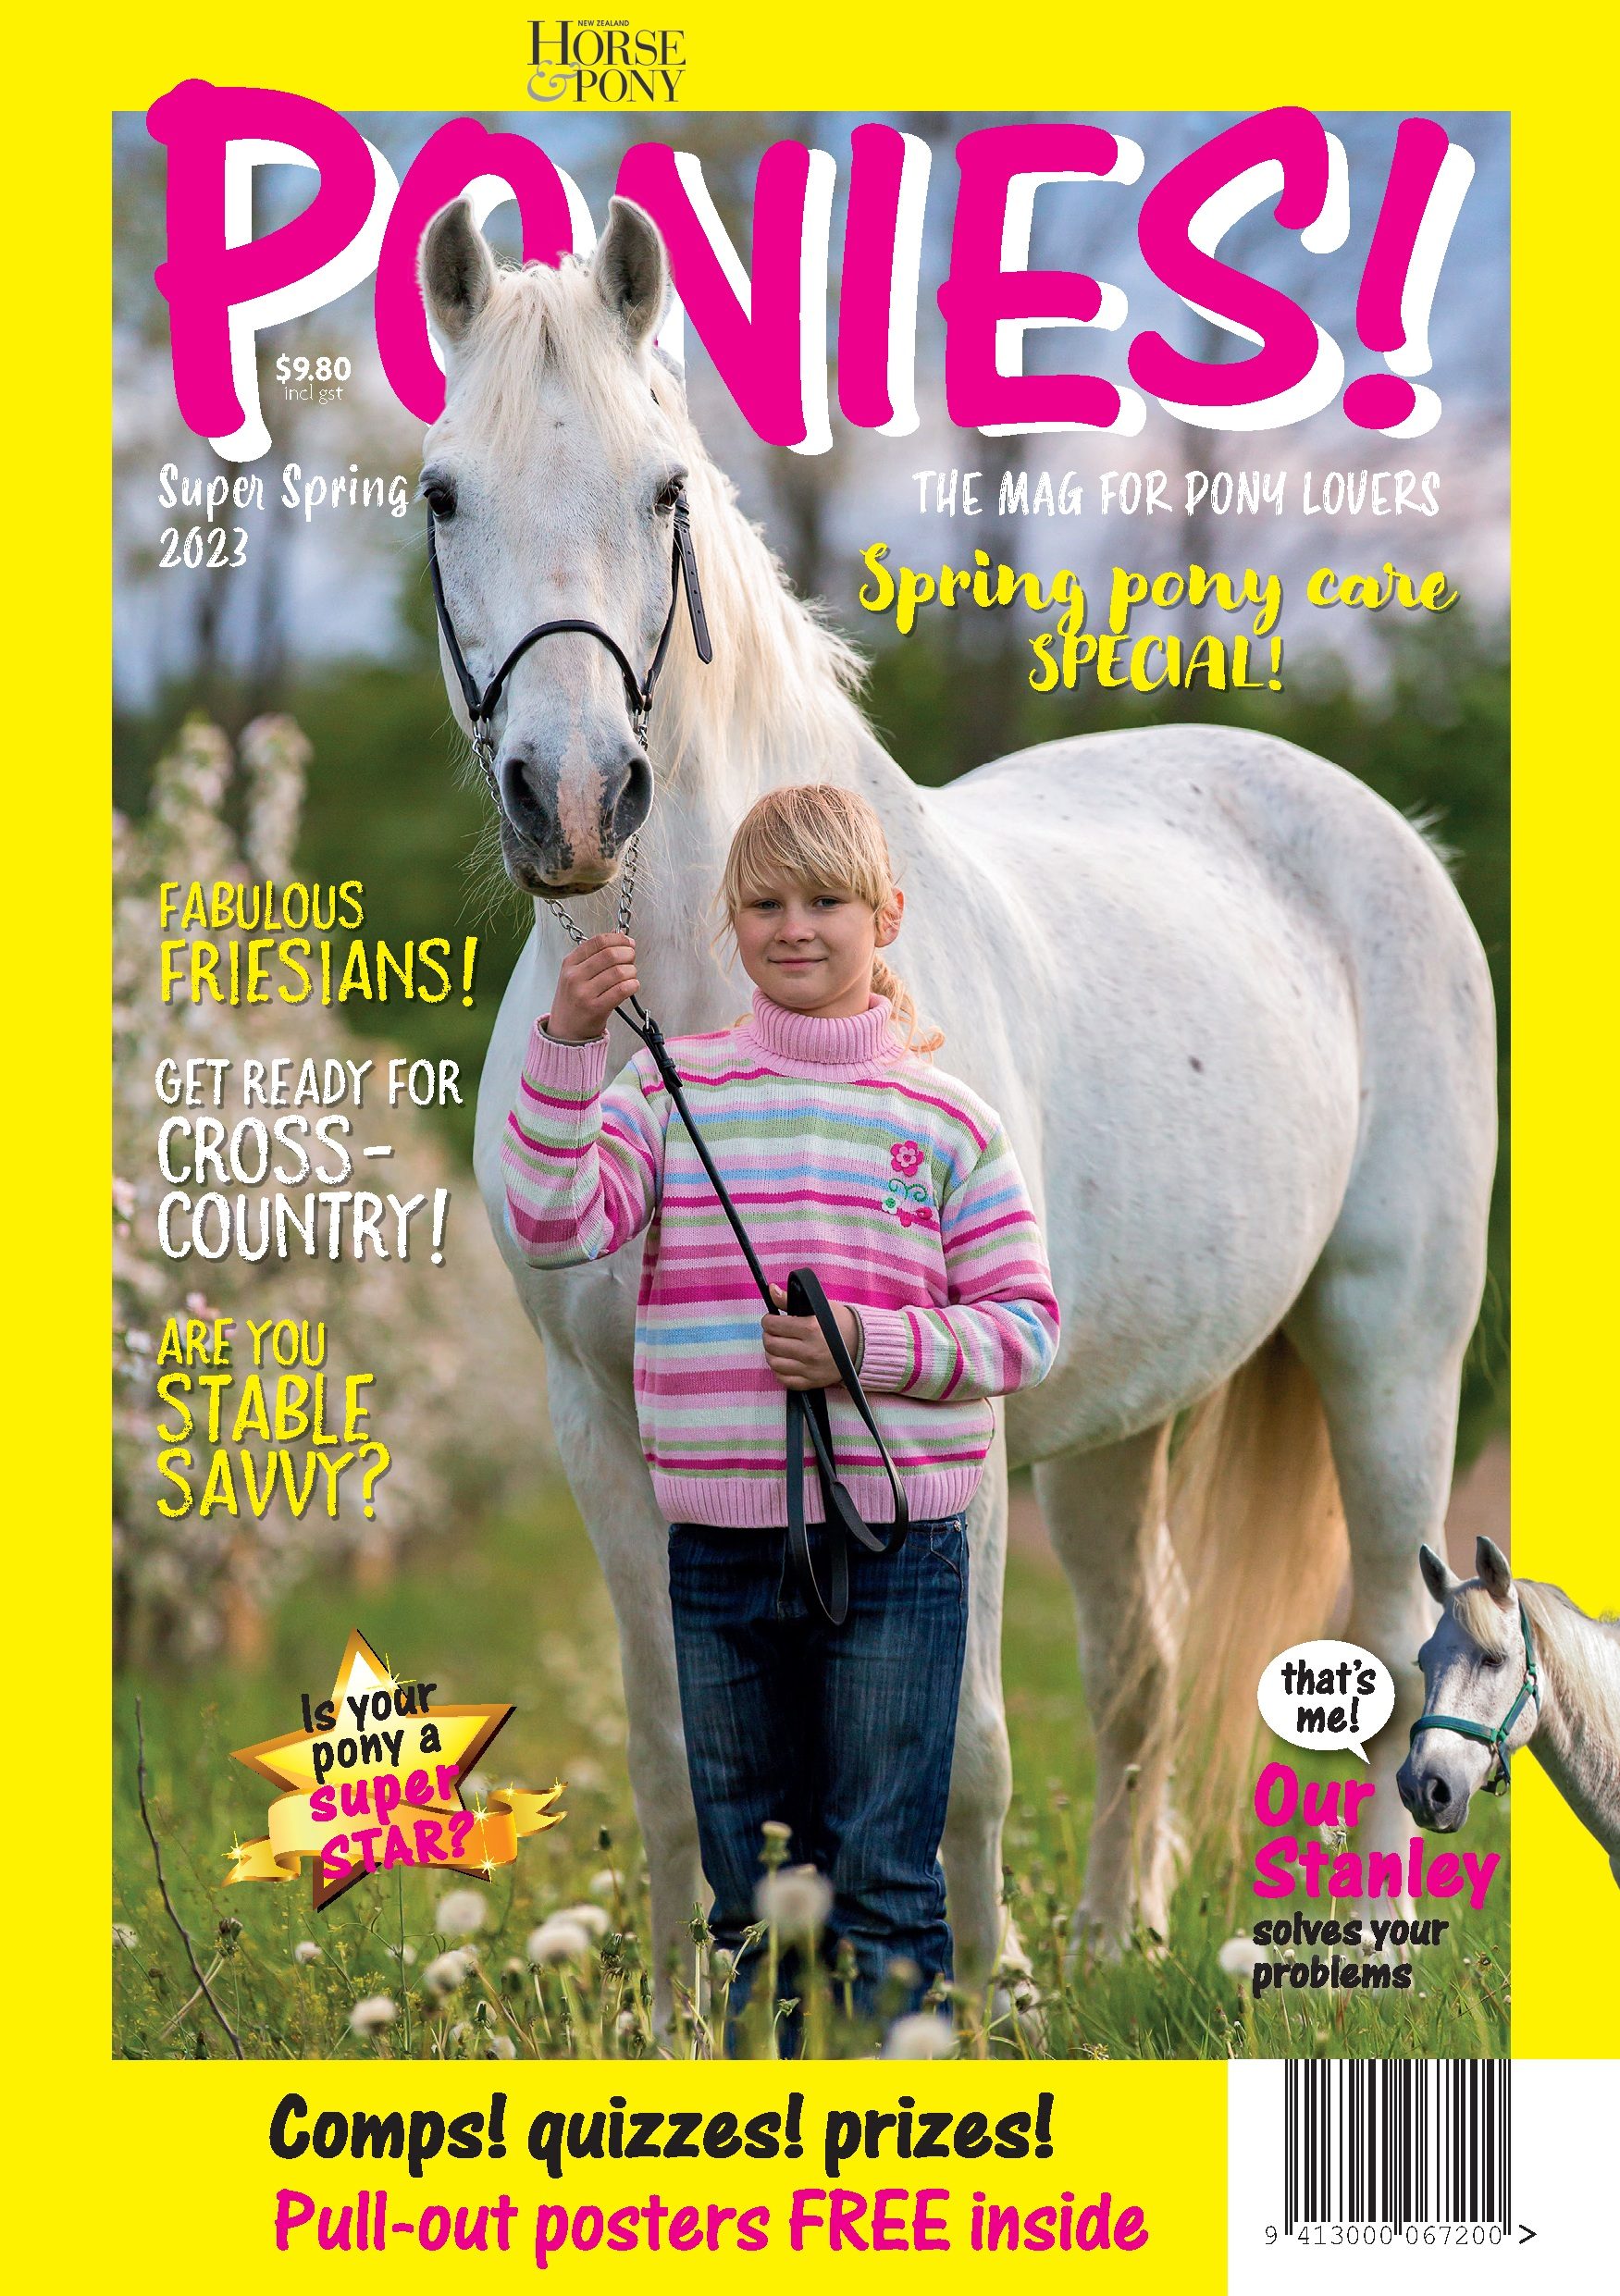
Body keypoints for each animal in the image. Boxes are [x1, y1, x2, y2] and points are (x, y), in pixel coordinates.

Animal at [416, 192, 1498, 2009]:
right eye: (440, 491)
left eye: (664, 487)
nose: (569, 798)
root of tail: (1375, 828)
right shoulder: (603, 1426)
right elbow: (670, 1749)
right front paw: (689, 2019)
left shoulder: (948, 1420)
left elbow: (965, 1753)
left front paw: (963, 2019)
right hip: (1124, 1424)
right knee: (1140, 1658)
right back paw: (1116, 1939)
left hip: (1387, 1352)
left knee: (1384, 1639)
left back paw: (1353, 1945)